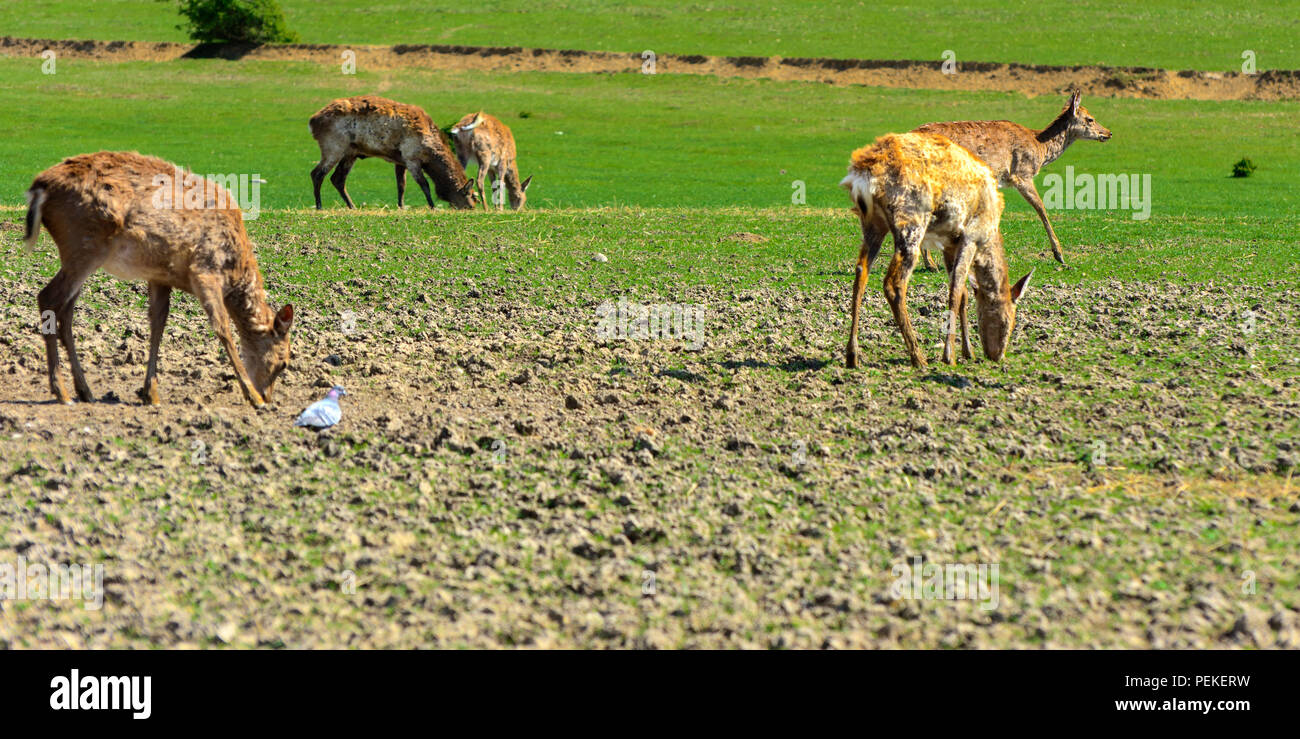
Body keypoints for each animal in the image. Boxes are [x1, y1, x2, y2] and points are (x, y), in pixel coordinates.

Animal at [22, 151, 295, 409]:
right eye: (284, 363)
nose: (268, 396)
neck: (234, 268)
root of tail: (39, 187)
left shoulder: (160, 276)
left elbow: (158, 325)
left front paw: (150, 393)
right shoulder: (204, 270)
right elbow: (222, 327)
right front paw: (253, 398)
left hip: (80, 254)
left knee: (66, 310)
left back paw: (85, 391)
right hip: (84, 244)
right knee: (48, 297)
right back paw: (62, 392)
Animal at [310, 95, 479, 210]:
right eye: (471, 201)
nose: (471, 208)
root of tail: (312, 122)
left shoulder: (400, 160)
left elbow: (401, 185)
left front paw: (401, 206)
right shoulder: (411, 157)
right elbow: (424, 184)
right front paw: (432, 206)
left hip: (351, 152)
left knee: (337, 178)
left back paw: (352, 206)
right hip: (333, 146)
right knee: (317, 173)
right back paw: (319, 206)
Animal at [841, 132, 1033, 370]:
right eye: (1009, 321)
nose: (998, 356)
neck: (991, 232)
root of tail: (861, 177)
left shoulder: (950, 243)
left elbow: (964, 294)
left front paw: (968, 352)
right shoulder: (971, 236)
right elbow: (956, 291)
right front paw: (949, 356)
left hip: (872, 223)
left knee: (860, 272)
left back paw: (852, 355)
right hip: (911, 222)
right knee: (894, 284)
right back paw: (918, 357)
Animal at [914, 90, 1112, 268]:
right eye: (1090, 119)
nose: (1108, 133)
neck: (1040, 148)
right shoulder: (1022, 173)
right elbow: (1041, 207)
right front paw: (1060, 255)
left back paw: (929, 262)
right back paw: (930, 263)